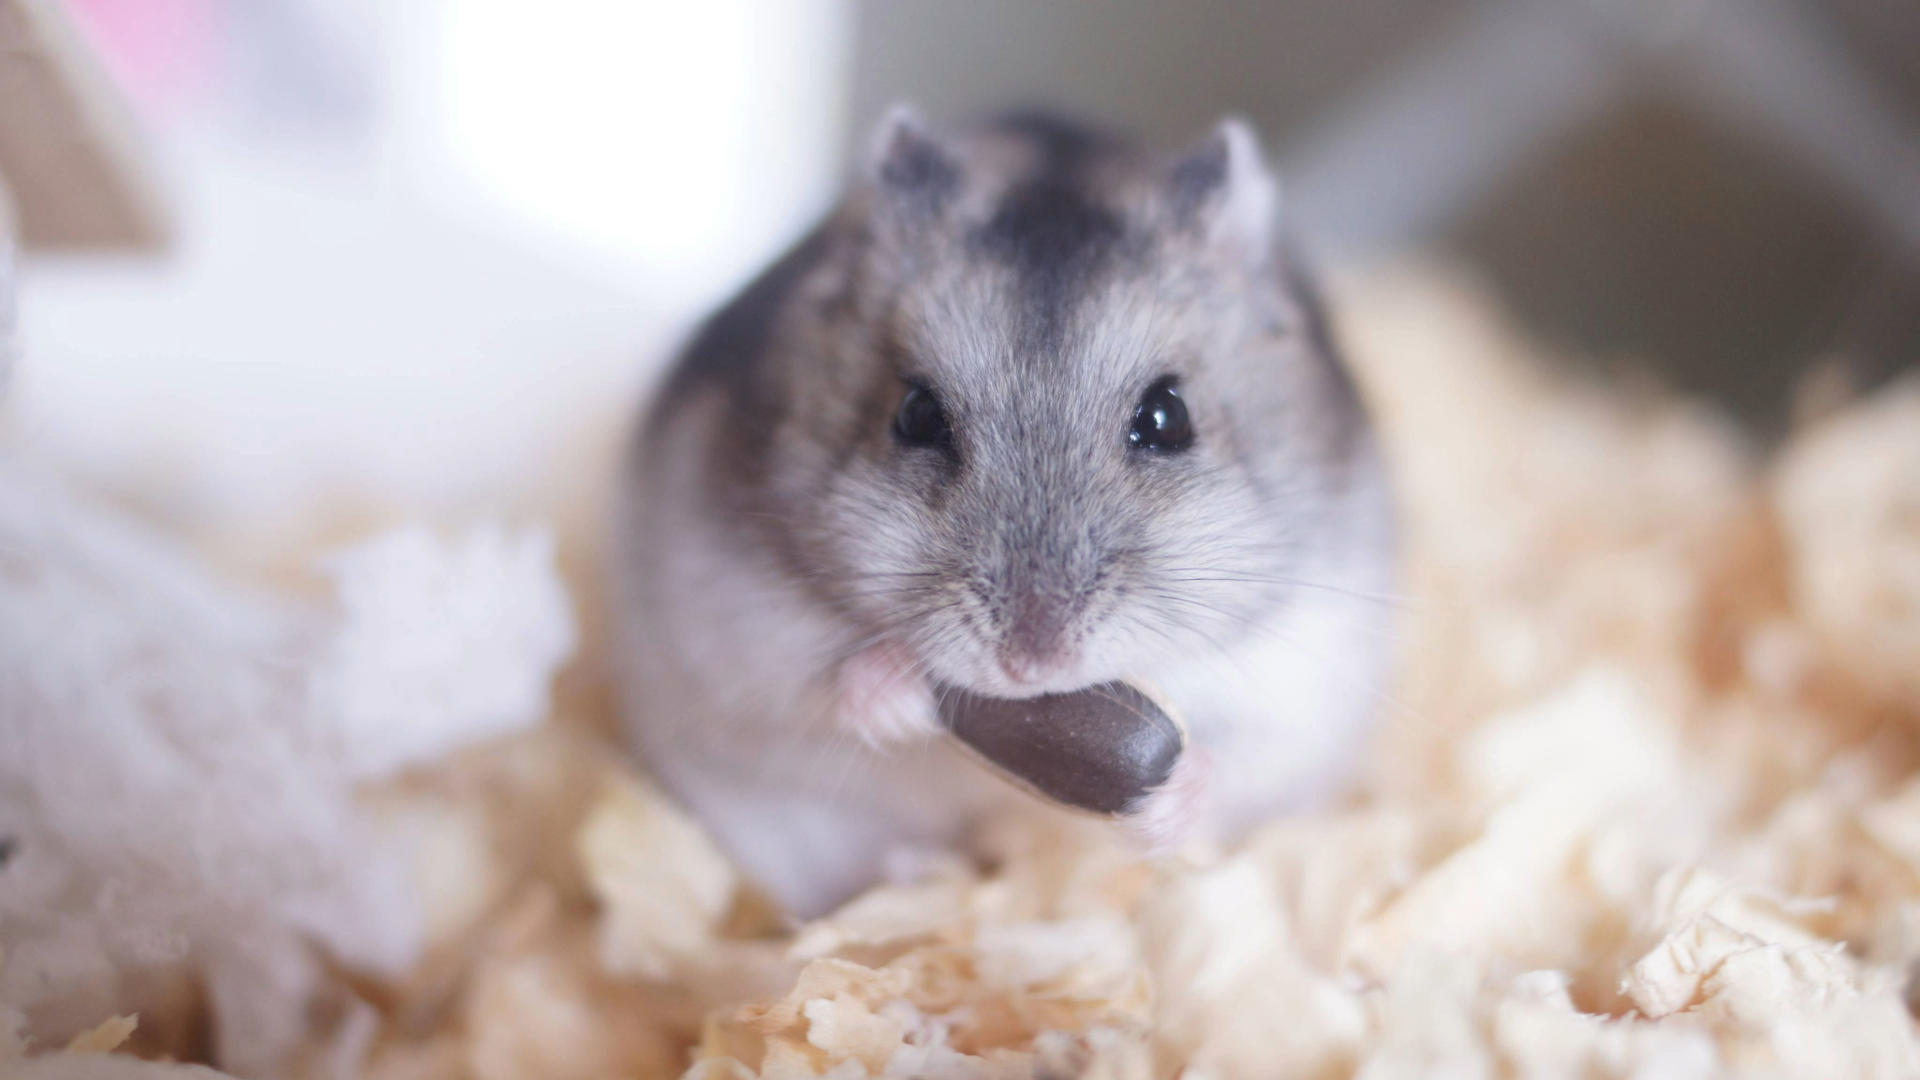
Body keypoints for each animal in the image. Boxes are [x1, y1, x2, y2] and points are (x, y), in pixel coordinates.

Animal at [611, 107, 1396, 918]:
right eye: (916, 415)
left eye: (1168, 416)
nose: (1030, 665)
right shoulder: (728, 617)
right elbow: (819, 679)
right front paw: (899, 690)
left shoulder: (1306, 673)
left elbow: (1241, 757)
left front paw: (1167, 799)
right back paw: (910, 873)